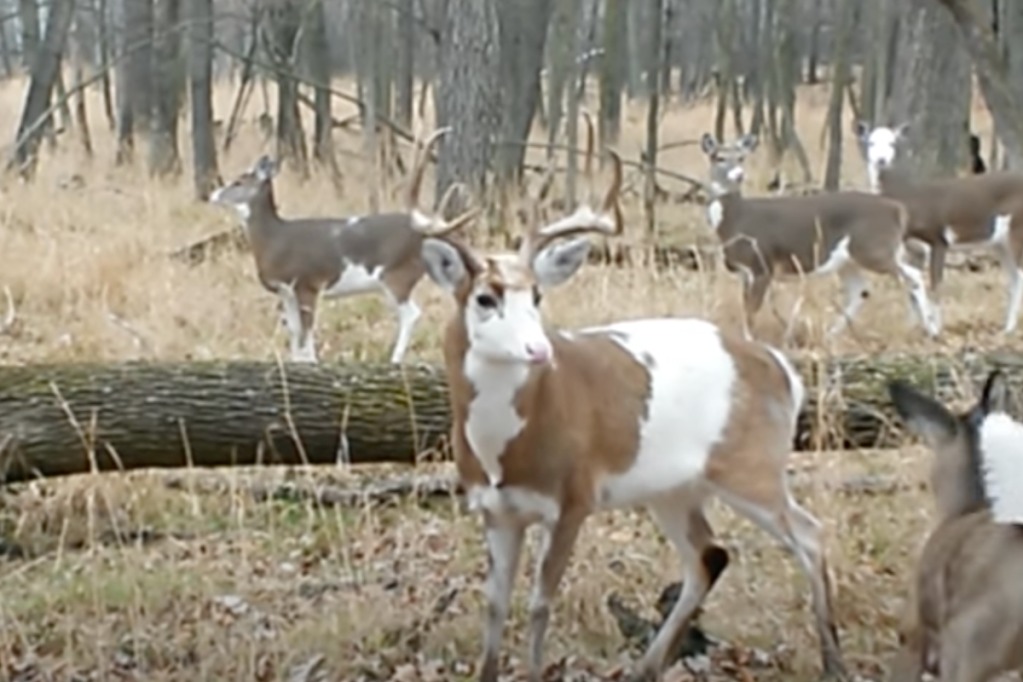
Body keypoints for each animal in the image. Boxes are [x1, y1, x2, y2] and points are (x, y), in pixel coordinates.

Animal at [208, 127, 478, 364]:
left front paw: (311, 362)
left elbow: (307, 332)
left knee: (412, 314)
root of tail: (424, 232)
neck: (274, 239)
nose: (212, 195)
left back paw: (394, 360)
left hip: (397, 275)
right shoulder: (287, 291)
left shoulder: (308, 283)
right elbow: (294, 331)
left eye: (238, 182)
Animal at [413, 143, 849, 682]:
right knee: (708, 555)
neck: (506, 451)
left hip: (752, 466)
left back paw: (833, 660)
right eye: (484, 298)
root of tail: (781, 368)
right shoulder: (495, 509)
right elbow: (494, 605)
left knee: (810, 534)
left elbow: (539, 602)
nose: (539, 350)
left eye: (537, 294)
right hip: (672, 487)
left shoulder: (574, 498)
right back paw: (647, 665)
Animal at [699, 132, 940, 340]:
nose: (739, 175)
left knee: (912, 275)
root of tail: (898, 209)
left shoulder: (762, 265)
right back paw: (832, 334)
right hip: (851, 259)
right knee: (861, 290)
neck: (737, 219)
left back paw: (932, 328)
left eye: (741, 157)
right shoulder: (744, 271)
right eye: (719, 158)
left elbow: (751, 310)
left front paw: (750, 341)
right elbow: (745, 307)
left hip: (872, 247)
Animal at [855, 122, 1023, 334]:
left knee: (1020, 275)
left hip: (1017, 228)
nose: (881, 160)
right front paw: (912, 328)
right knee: (1013, 278)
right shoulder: (913, 248)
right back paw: (1006, 328)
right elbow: (912, 288)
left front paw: (936, 329)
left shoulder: (938, 239)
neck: (909, 200)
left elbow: (936, 286)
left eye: (893, 143)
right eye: (871, 142)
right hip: (999, 243)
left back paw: (1009, 329)